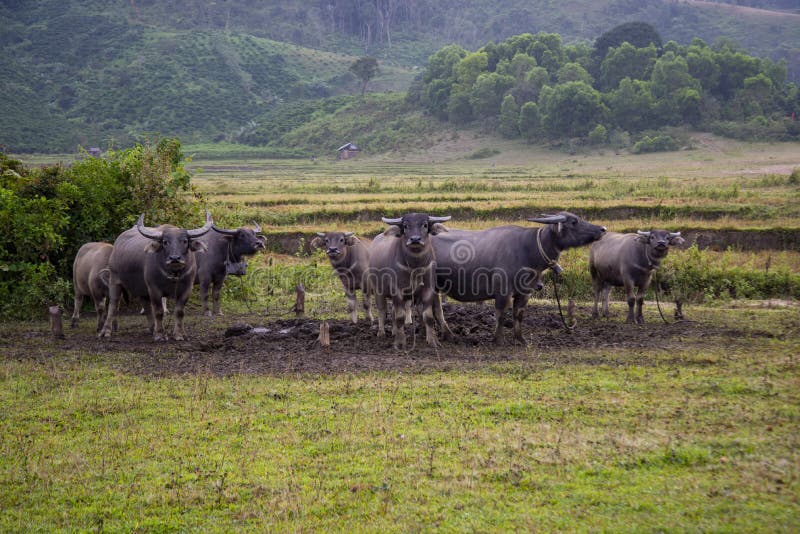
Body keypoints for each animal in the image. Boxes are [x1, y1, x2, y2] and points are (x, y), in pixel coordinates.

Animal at [99, 211, 213, 341]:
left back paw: (152, 328)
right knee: (113, 305)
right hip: (114, 280)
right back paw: (106, 331)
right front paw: (160, 334)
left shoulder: (187, 289)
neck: (173, 274)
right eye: (165, 242)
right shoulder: (154, 289)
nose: (175, 258)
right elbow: (158, 311)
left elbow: (179, 312)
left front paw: (179, 334)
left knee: (146, 307)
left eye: (184, 241)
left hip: (141, 289)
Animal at [367, 213, 451, 350]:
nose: (415, 239)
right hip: (378, 290)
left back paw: (394, 331)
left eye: (425, 225)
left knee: (393, 312)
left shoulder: (428, 289)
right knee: (382, 311)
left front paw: (432, 340)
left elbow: (428, 316)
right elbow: (400, 317)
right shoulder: (397, 291)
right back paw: (381, 332)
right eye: (405, 226)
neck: (415, 267)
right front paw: (400, 342)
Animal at [433, 212, 606, 344]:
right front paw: (498, 339)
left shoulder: (525, 292)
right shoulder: (503, 292)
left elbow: (518, 315)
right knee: (437, 310)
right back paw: (447, 334)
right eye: (574, 221)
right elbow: (501, 315)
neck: (528, 249)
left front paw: (520, 339)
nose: (602, 229)